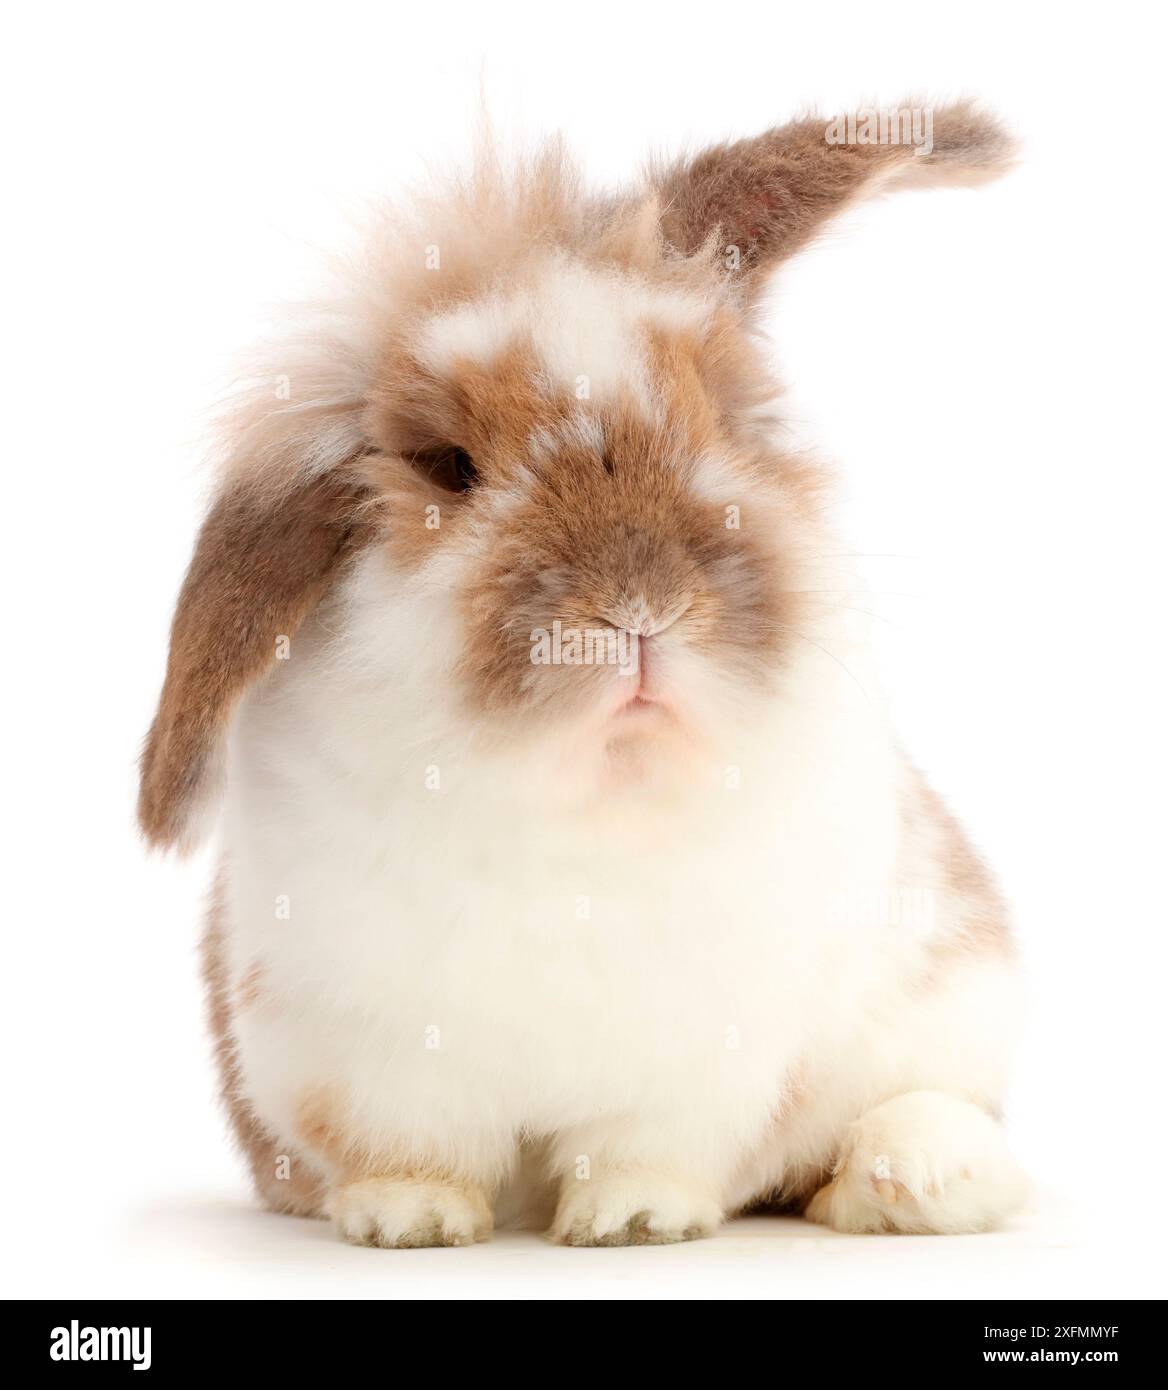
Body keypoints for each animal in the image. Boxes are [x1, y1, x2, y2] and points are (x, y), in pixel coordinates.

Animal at [139, 101, 1027, 1247]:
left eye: (721, 420)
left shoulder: (710, 1047)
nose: (639, 606)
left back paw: (912, 1176)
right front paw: (409, 1219)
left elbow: (652, 1142)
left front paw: (635, 1219)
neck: (586, 791)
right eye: (448, 466)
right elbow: (405, 1142)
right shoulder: (357, 1041)